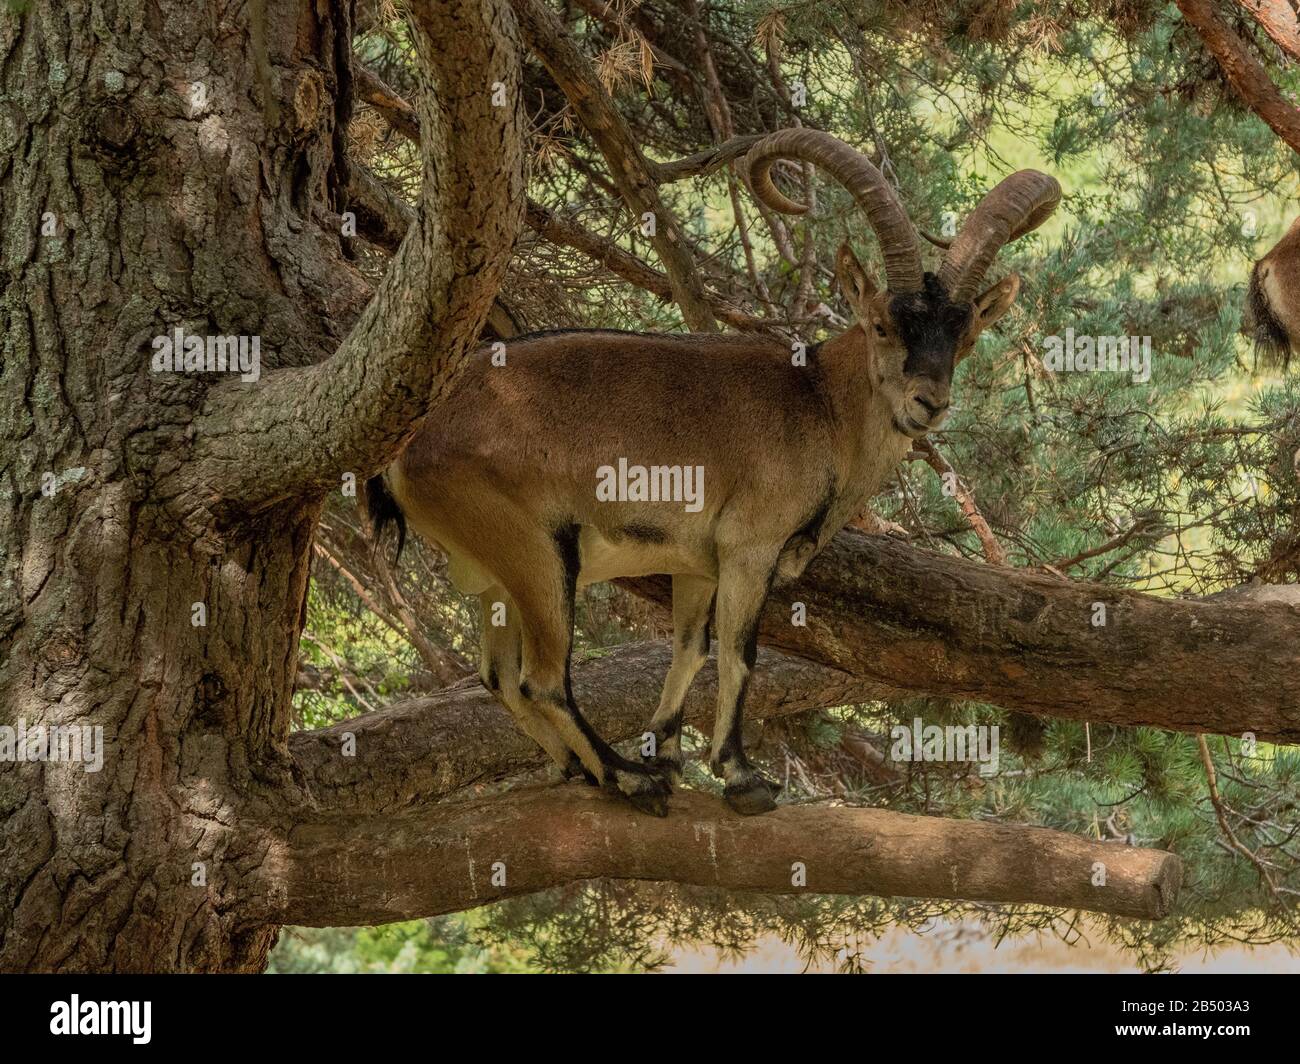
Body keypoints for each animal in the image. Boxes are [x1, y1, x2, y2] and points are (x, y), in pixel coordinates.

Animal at [365, 129, 1061, 816]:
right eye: (883, 324)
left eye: (964, 337)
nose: (928, 404)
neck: (819, 401)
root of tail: (405, 447)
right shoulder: (749, 549)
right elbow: (738, 653)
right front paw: (740, 776)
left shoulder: (695, 563)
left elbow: (690, 649)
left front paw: (666, 752)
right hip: (536, 554)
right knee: (542, 681)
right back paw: (626, 780)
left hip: (497, 579)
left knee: (500, 679)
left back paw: (583, 770)